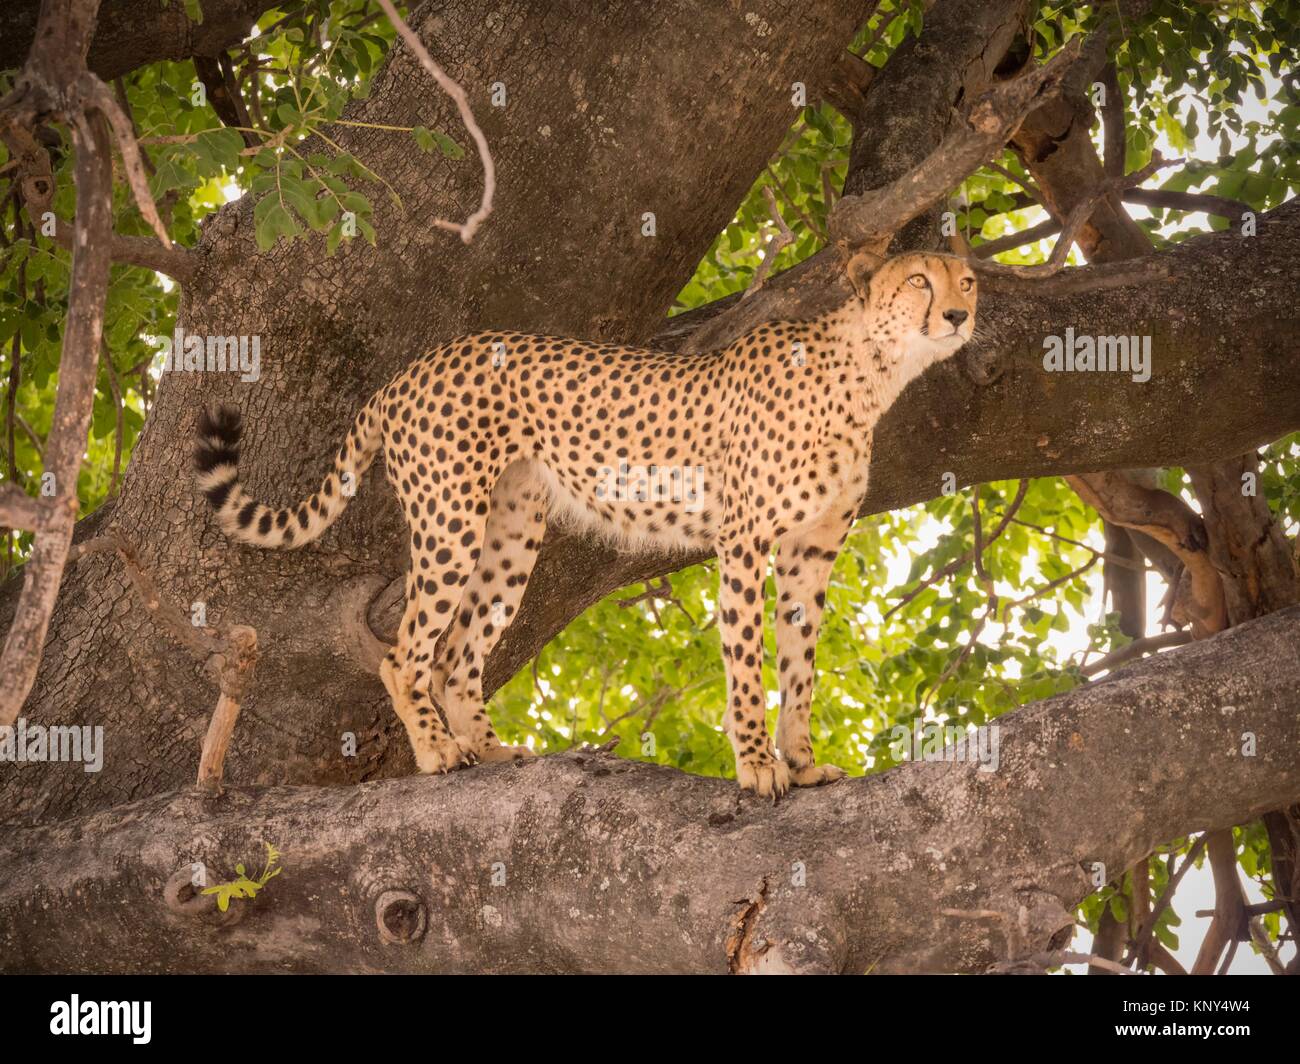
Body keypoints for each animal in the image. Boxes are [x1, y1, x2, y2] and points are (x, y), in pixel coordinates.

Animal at [193, 249, 977, 797]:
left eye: (965, 281)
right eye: (917, 281)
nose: (959, 317)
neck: (870, 372)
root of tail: (415, 366)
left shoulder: (812, 552)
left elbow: (800, 664)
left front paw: (805, 763)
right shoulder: (744, 543)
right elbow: (748, 665)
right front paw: (757, 766)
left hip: (512, 532)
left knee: (457, 654)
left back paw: (490, 750)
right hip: (451, 522)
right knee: (406, 649)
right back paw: (438, 752)